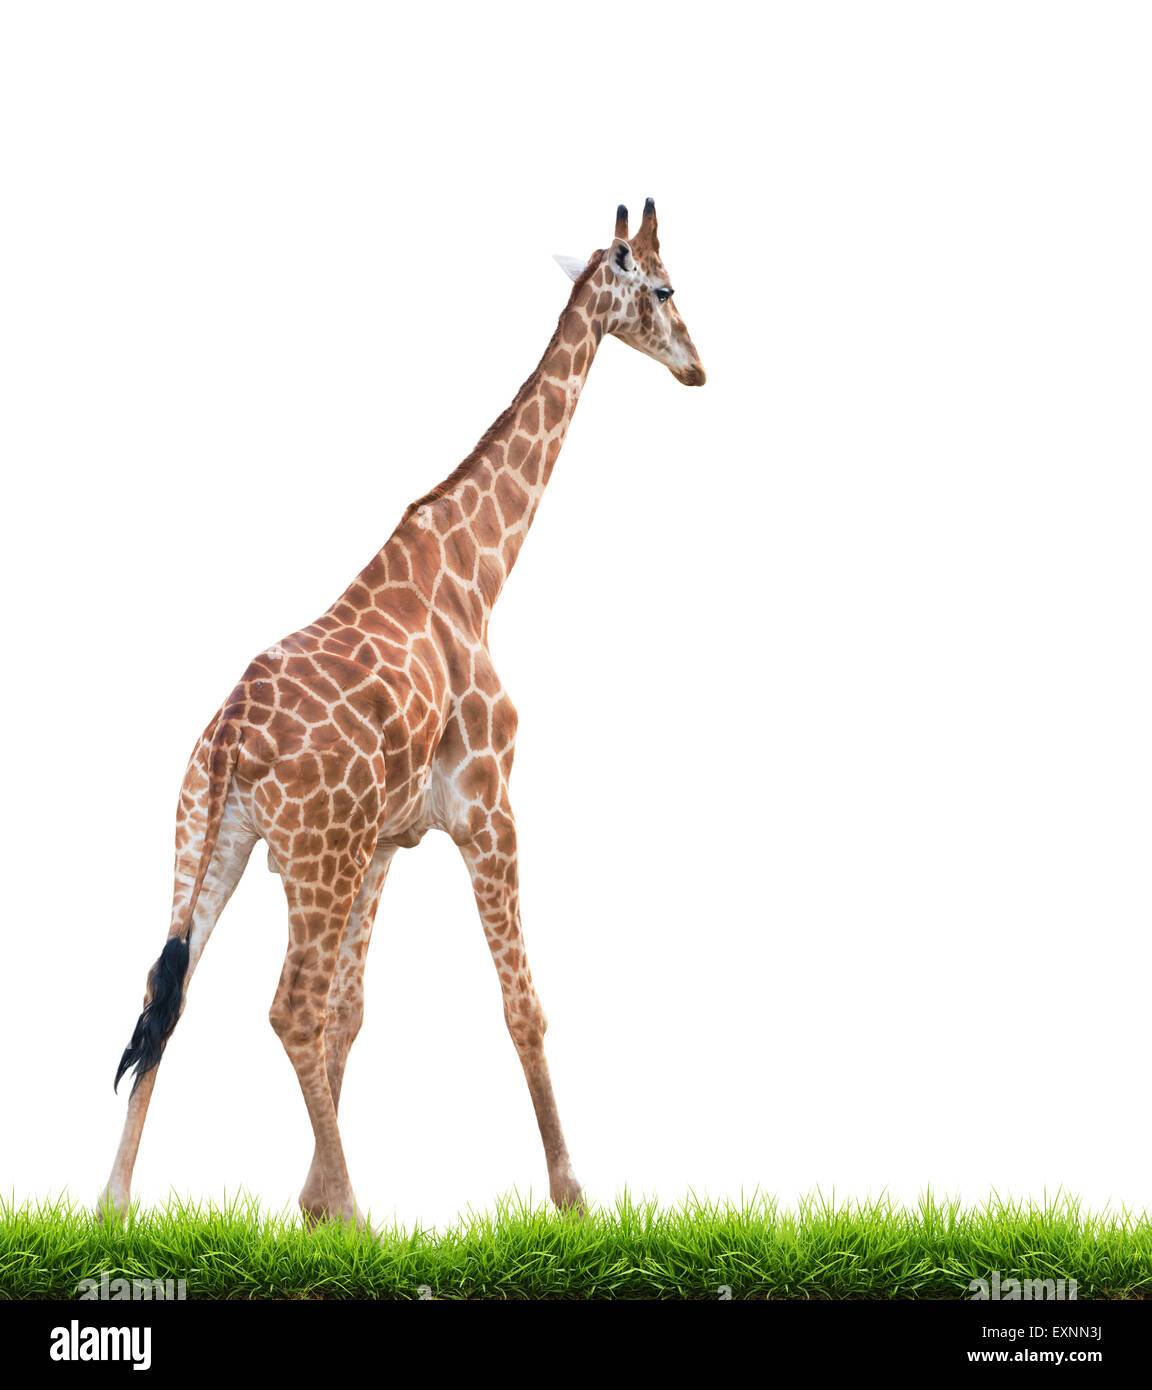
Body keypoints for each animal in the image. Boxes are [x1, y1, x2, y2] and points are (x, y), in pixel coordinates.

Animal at [100, 199, 705, 1229]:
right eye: (664, 288)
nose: (698, 365)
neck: (477, 571)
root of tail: (229, 735)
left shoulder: (387, 840)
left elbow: (354, 1015)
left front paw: (308, 1206)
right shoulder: (488, 806)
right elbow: (521, 1005)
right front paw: (571, 1196)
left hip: (212, 843)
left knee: (166, 991)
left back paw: (112, 1205)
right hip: (311, 854)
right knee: (285, 1007)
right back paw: (360, 1211)